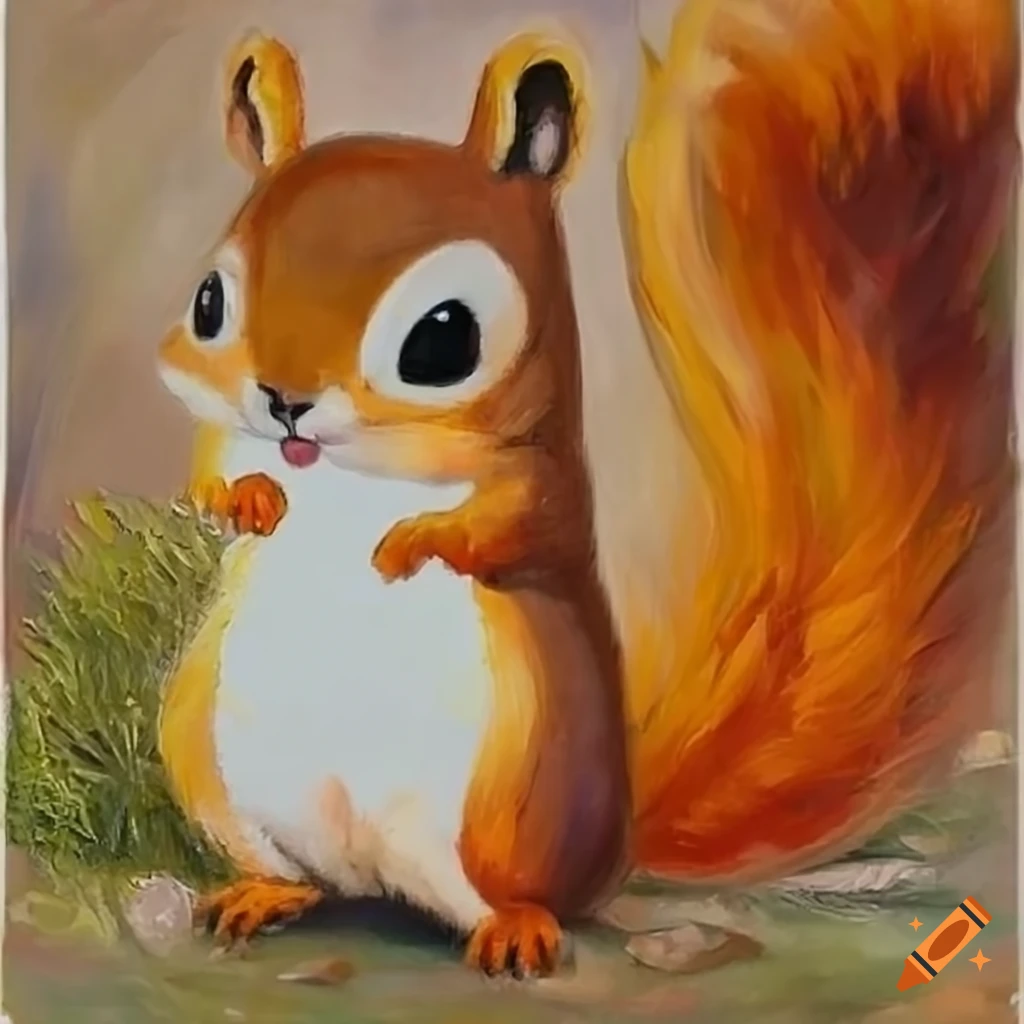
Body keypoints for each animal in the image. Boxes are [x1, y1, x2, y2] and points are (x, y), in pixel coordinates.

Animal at [156, 0, 1017, 978]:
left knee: (520, 892)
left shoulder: (545, 477)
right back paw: (267, 892)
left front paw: (413, 543)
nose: (286, 401)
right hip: (207, 757)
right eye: (209, 302)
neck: (340, 472)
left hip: (521, 788)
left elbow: (513, 521)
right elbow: (214, 466)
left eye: (441, 336)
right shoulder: (238, 437)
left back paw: (518, 928)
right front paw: (246, 503)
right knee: (303, 874)